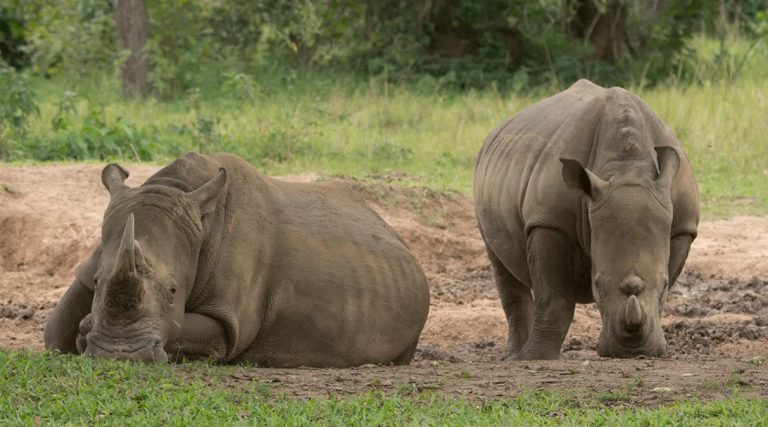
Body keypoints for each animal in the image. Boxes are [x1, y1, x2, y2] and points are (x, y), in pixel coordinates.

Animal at [44, 152, 430, 367]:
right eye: (97, 282)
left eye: (173, 291)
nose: (121, 355)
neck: (177, 189)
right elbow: (54, 331)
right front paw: (83, 330)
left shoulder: (229, 319)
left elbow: (192, 329)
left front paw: (85, 332)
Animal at [473, 79, 699, 359]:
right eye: (596, 285)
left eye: (666, 286)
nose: (632, 351)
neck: (627, 168)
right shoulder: (548, 221)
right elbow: (554, 298)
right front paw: (536, 357)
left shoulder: (682, 228)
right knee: (500, 262)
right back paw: (513, 357)